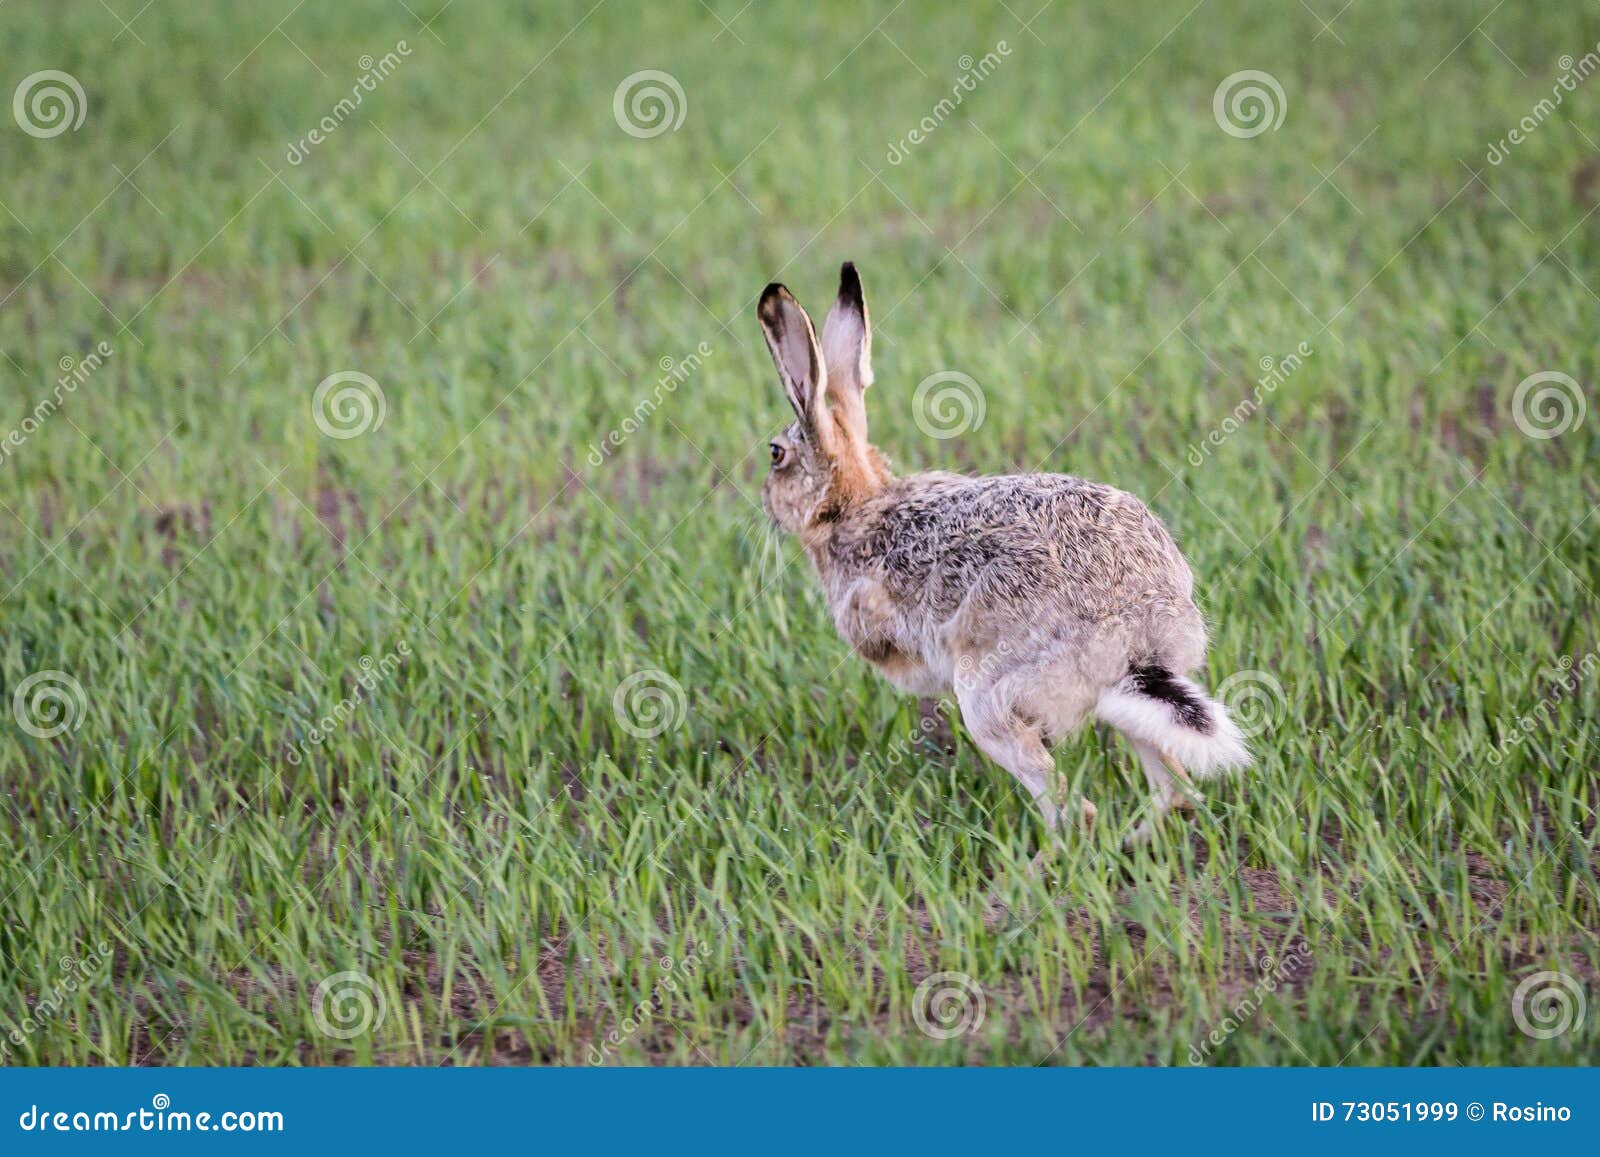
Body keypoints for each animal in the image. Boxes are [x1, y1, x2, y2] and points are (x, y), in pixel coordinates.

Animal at [756, 262, 1250, 849]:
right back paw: (1128, 845)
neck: (857, 505)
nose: (763, 498)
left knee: (1072, 808)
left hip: (987, 700)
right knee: (1174, 790)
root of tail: (1135, 625)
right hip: (1121, 700)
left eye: (775, 454)